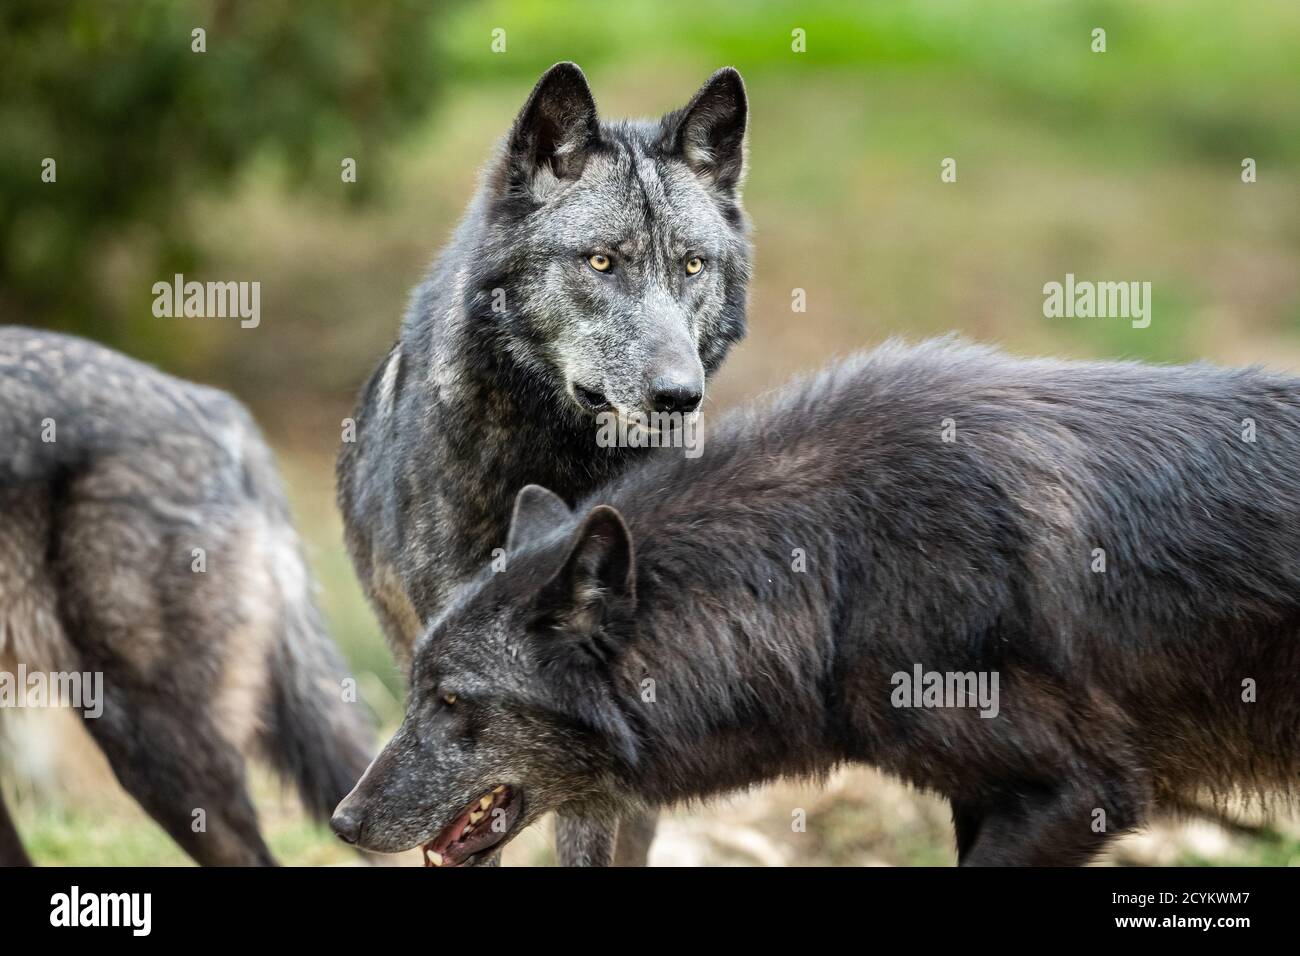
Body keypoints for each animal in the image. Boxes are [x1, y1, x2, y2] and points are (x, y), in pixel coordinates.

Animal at [332, 338, 1300, 866]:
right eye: (415, 690)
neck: (842, 573)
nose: (342, 822)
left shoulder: (1085, 790)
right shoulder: (986, 796)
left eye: (452, 700)